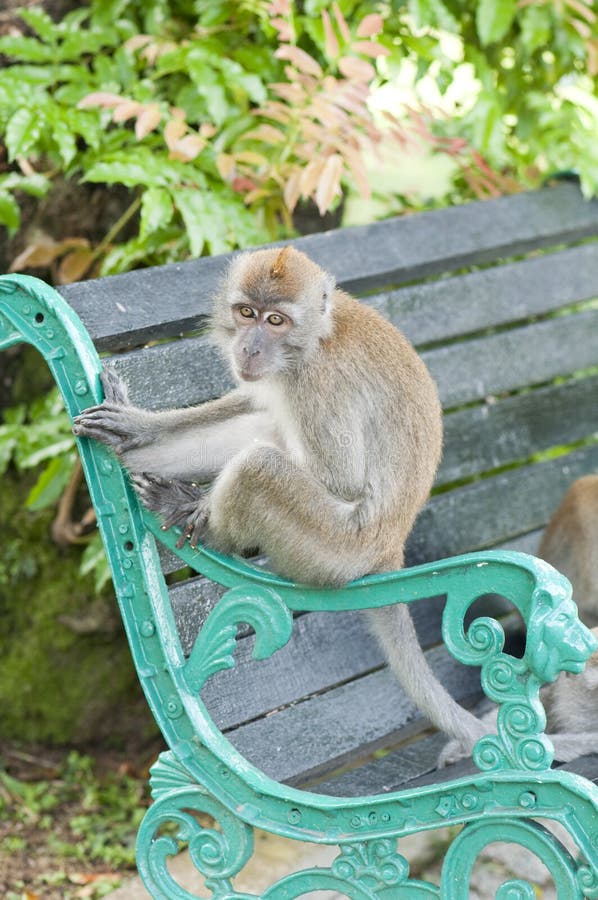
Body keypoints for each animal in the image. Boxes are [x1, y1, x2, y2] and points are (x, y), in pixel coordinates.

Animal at [72, 245, 490, 753]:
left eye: (276, 320)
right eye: (246, 313)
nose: (249, 348)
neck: (311, 341)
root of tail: (389, 549)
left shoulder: (315, 384)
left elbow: (341, 480)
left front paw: (198, 506)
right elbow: (255, 405)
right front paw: (140, 428)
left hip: (332, 547)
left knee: (260, 465)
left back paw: (206, 523)